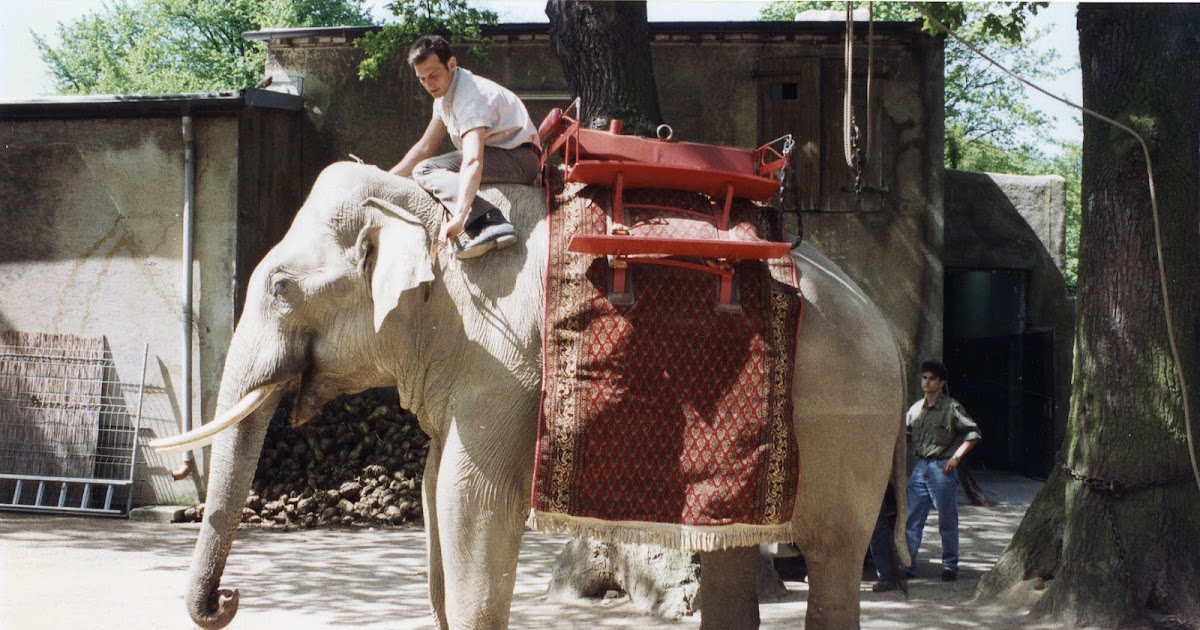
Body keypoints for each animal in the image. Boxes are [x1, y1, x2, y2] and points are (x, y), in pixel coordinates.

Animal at [153, 161, 909, 629]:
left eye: (280, 287)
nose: (230, 599)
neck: (428, 216)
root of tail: (892, 332)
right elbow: (434, 489)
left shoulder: (505, 371)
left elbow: (471, 501)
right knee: (728, 551)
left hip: (851, 426)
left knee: (834, 554)